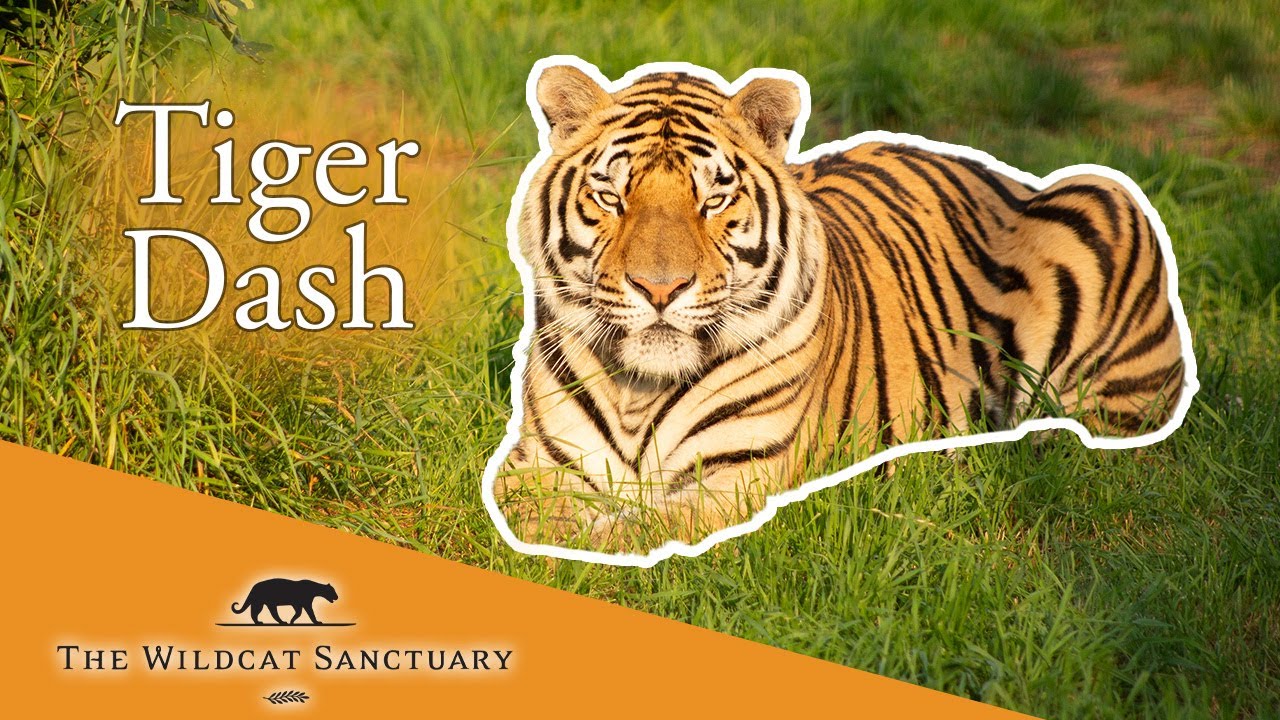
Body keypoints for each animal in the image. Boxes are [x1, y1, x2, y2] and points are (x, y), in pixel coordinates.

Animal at [491, 60, 1191, 554]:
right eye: (611, 196)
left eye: (714, 200)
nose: (660, 289)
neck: (640, 391)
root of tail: (1012, 175)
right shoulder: (537, 462)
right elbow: (523, 505)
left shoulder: (740, 481)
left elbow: (638, 530)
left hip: (1102, 203)